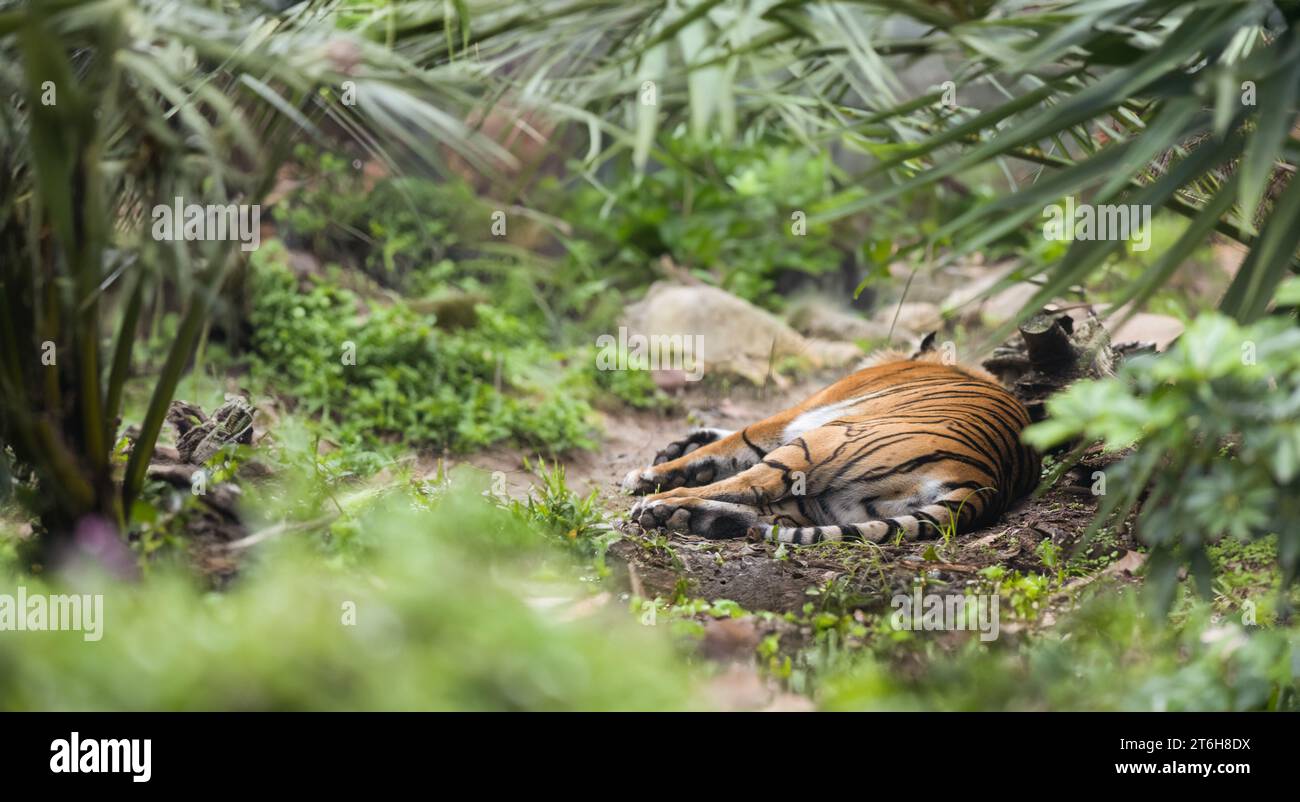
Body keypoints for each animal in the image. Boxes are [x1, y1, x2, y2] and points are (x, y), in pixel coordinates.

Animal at [623, 348, 1040, 545]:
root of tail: (984, 481)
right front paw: (680, 444)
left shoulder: (793, 415)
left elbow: (737, 438)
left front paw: (649, 472)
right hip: (830, 504)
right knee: (766, 514)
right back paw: (682, 517)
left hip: (816, 444)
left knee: (751, 485)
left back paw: (660, 505)